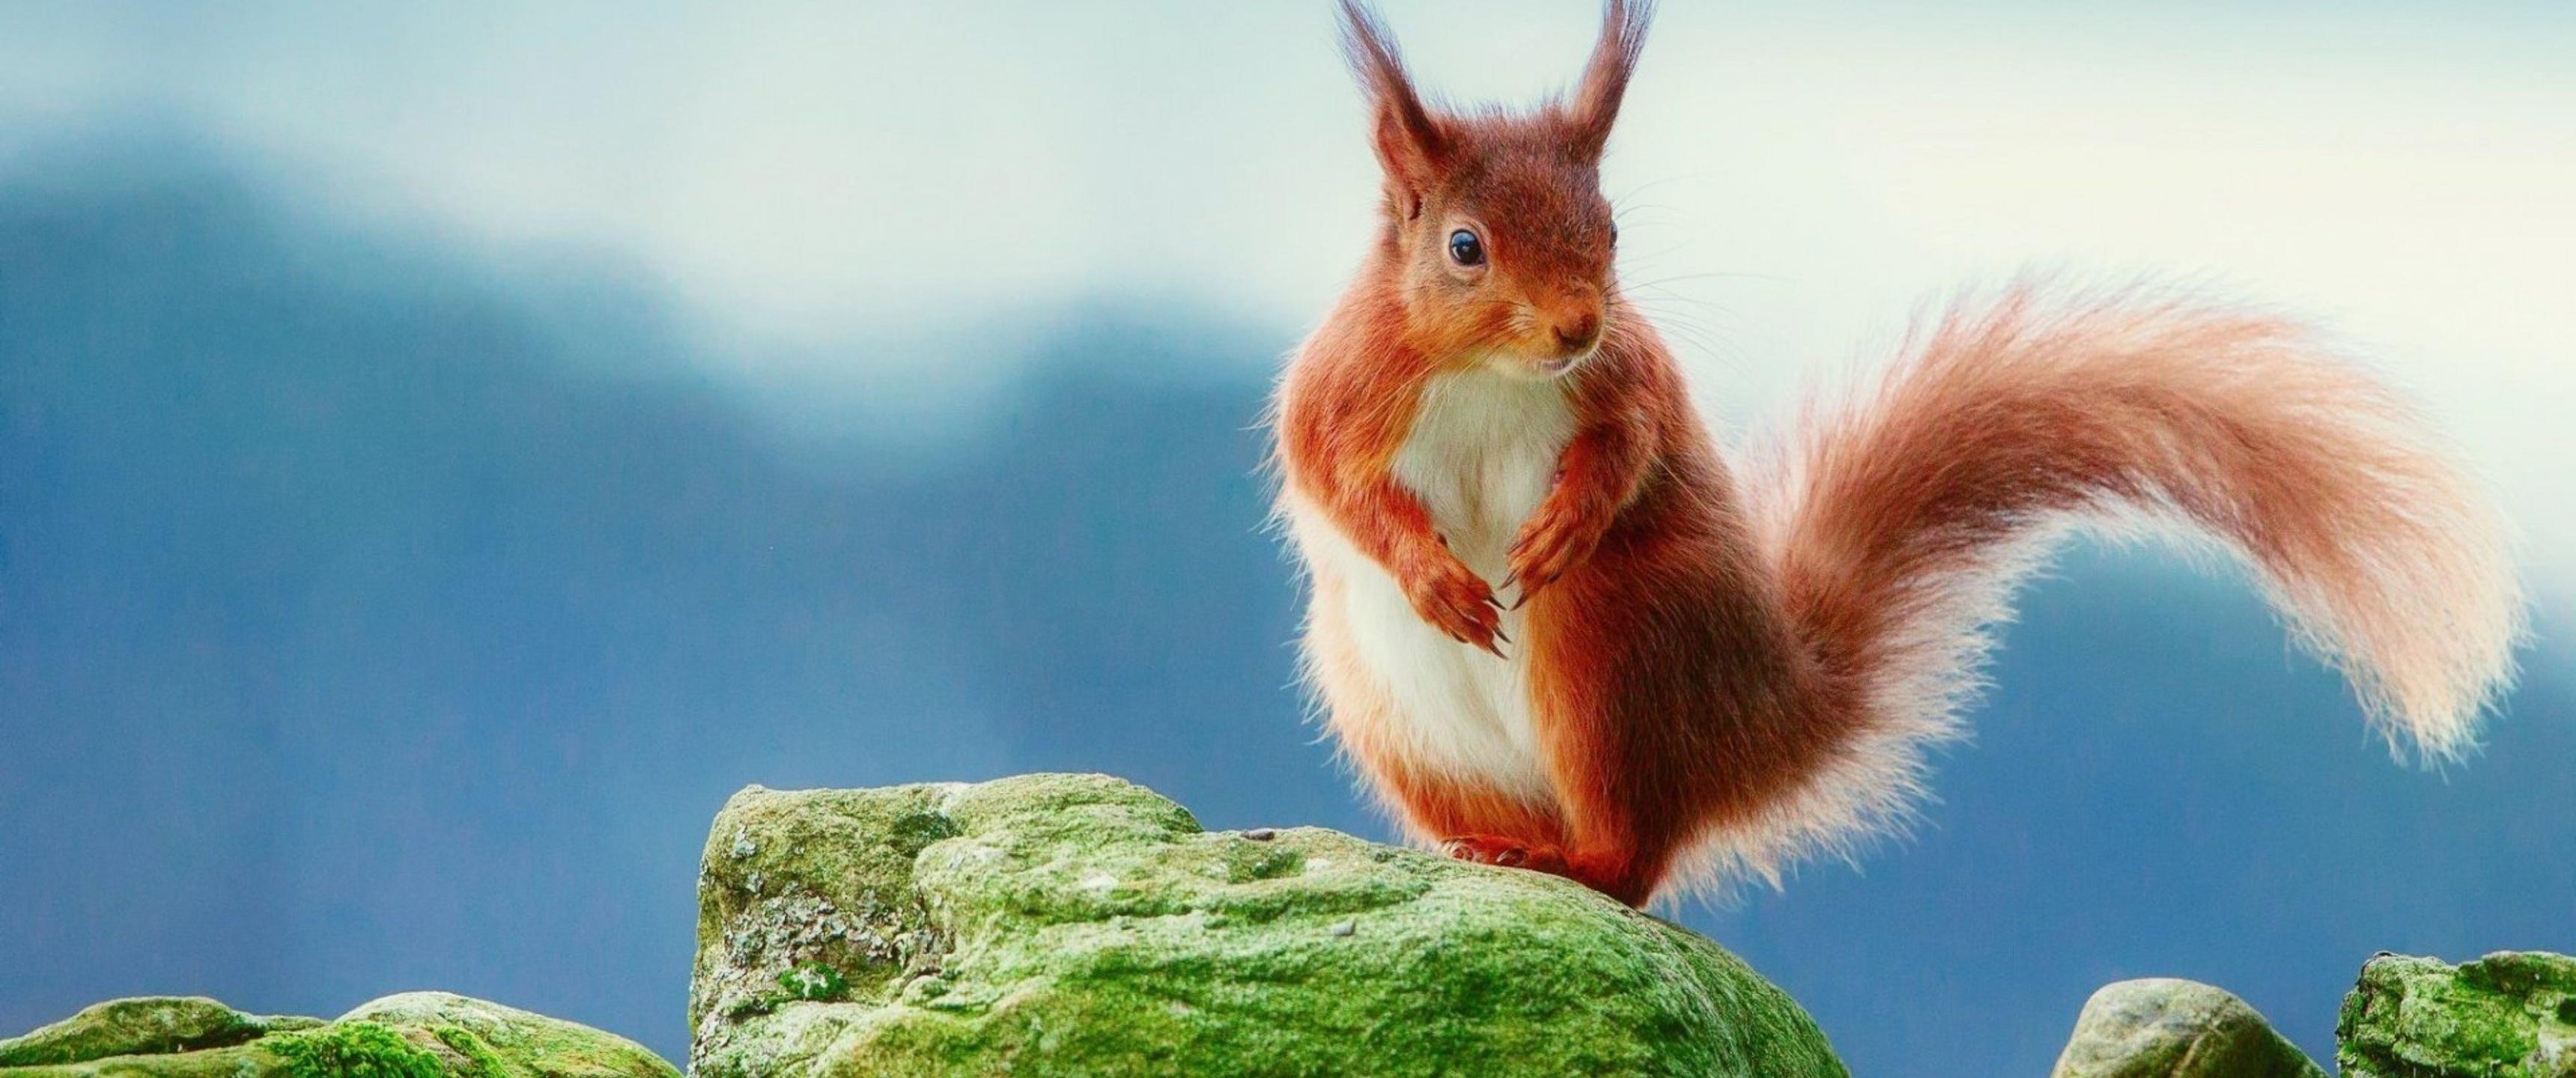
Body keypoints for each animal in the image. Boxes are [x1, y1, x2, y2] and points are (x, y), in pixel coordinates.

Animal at [1272, 0, 2526, 908]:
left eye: (1612, 229)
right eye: (1465, 247)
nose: (1578, 325)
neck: (1494, 375)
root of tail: (1765, 720)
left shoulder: (1633, 382)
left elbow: (1628, 453)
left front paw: (1567, 520)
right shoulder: (1344, 390)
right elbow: (1331, 480)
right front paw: (1432, 573)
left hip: (1611, 651)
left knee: (1633, 862)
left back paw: (1567, 858)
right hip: (1391, 709)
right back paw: (1487, 850)